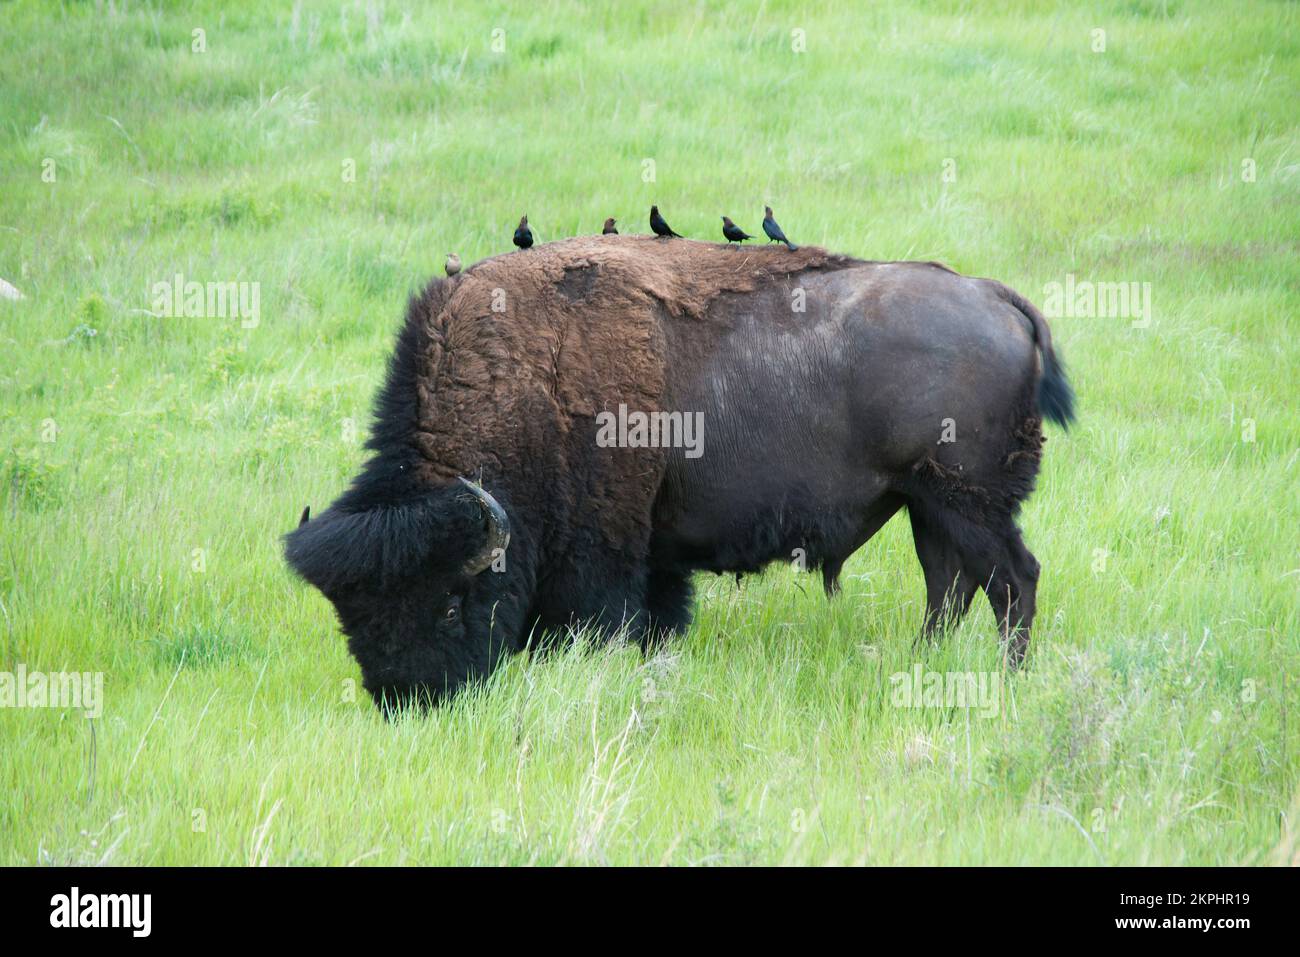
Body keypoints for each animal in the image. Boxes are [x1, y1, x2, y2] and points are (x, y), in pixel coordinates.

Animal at [285, 236, 1074, 711]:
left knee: (1013, 580)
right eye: (351, 617)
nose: (408, 701)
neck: (530, 380)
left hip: (969, 501)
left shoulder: (606, 552)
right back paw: (922, 666)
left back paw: (1009, 680)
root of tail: (1000, 298)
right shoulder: (654, 554)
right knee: (950, 586)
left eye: (451, 603)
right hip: (928, 504)